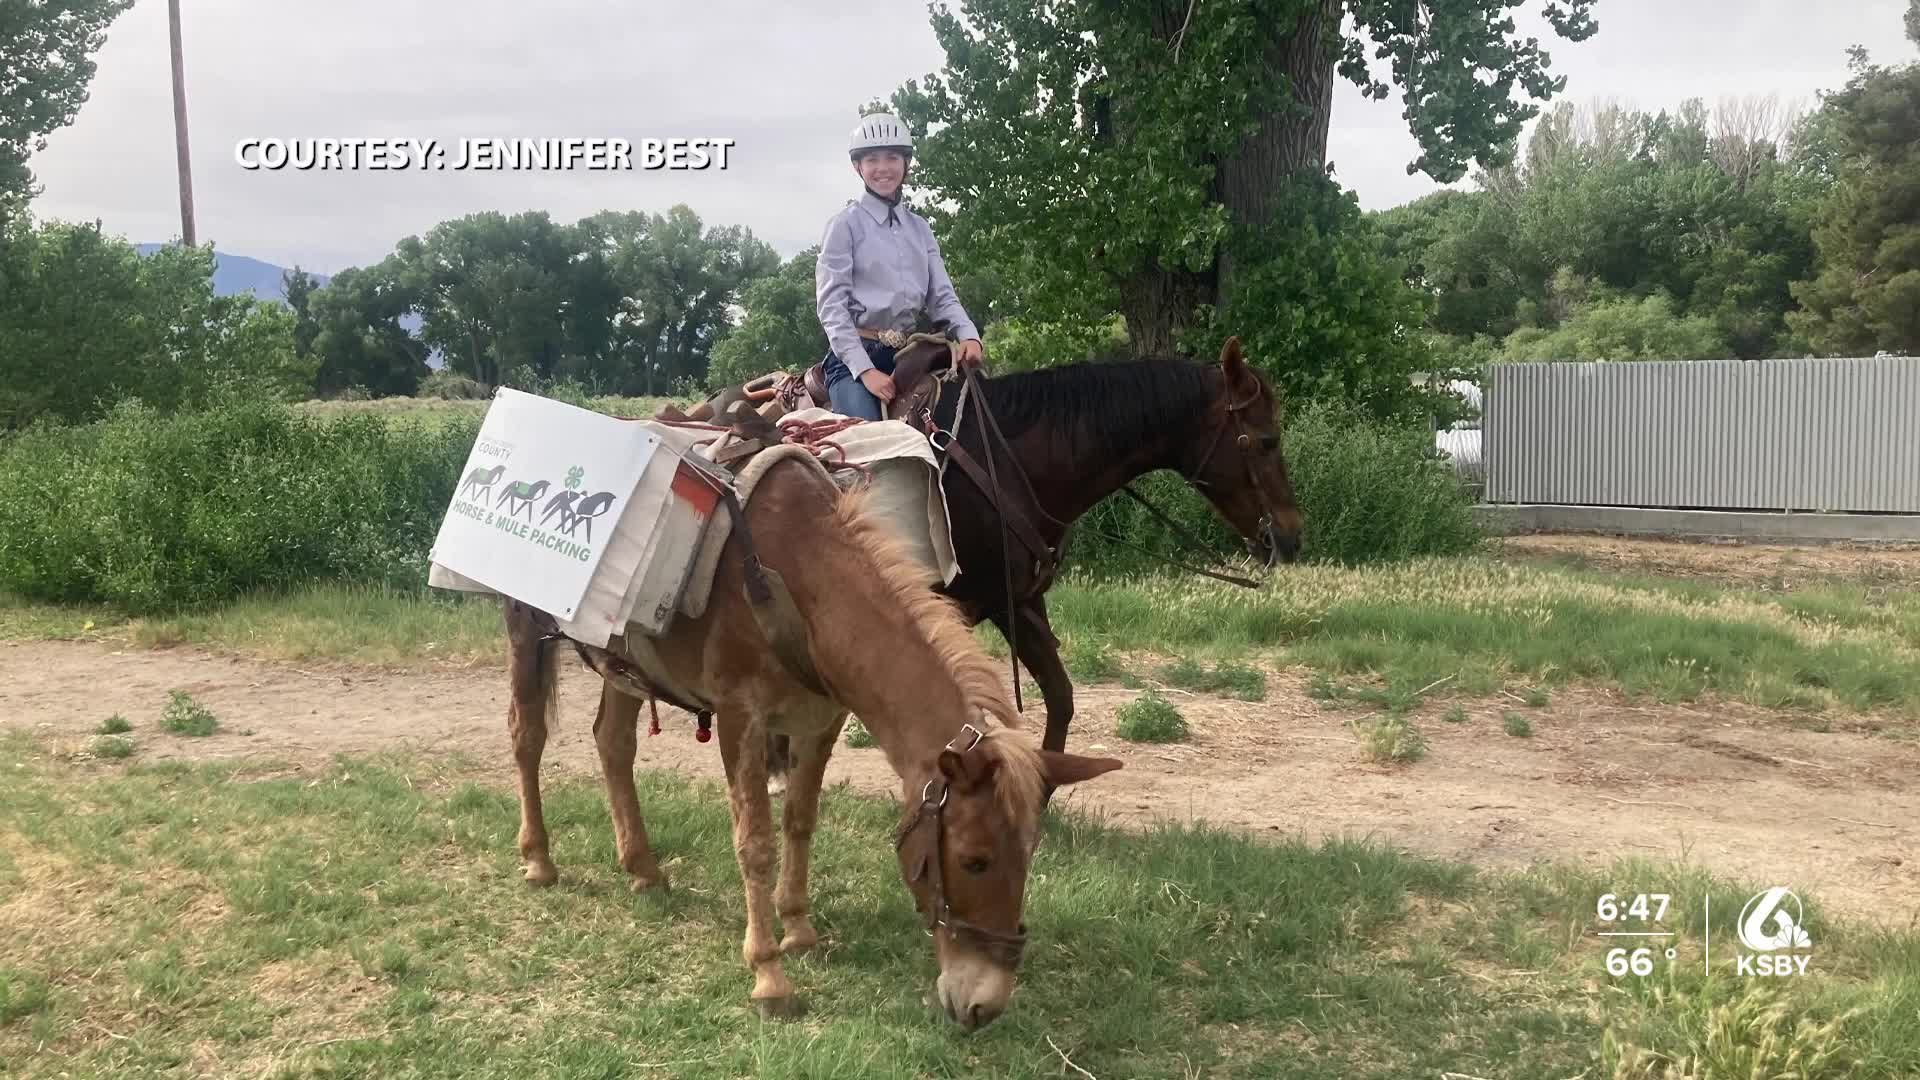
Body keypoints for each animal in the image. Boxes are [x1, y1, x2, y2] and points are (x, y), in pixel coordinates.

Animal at [499, 450, 1124, 1027]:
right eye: (974, 861)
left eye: (1030, 855)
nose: (984, 1006)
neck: (800, 577)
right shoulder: (741, 717)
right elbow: (755, 842)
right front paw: (769, 975)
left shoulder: (820, 721)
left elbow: (800, 821)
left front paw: (798, 928)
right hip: (525, 631)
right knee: (527, 737)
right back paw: (538, 858)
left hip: (622, 663)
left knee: (612, 743)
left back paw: (643, 868)